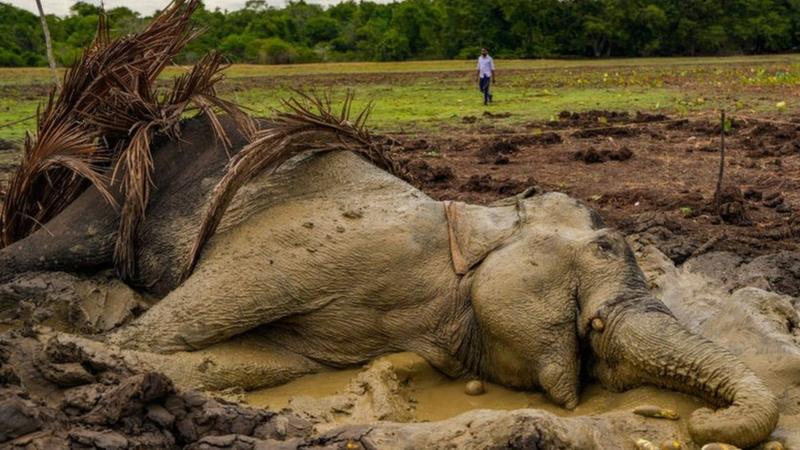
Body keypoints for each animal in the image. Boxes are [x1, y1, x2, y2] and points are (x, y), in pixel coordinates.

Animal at [0, 116, 779, 448]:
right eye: (608, 246)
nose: (699, 427)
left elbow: (254, 361)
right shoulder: (341, 243)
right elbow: (175, 327)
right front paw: (81, 349)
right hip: (115, 188)